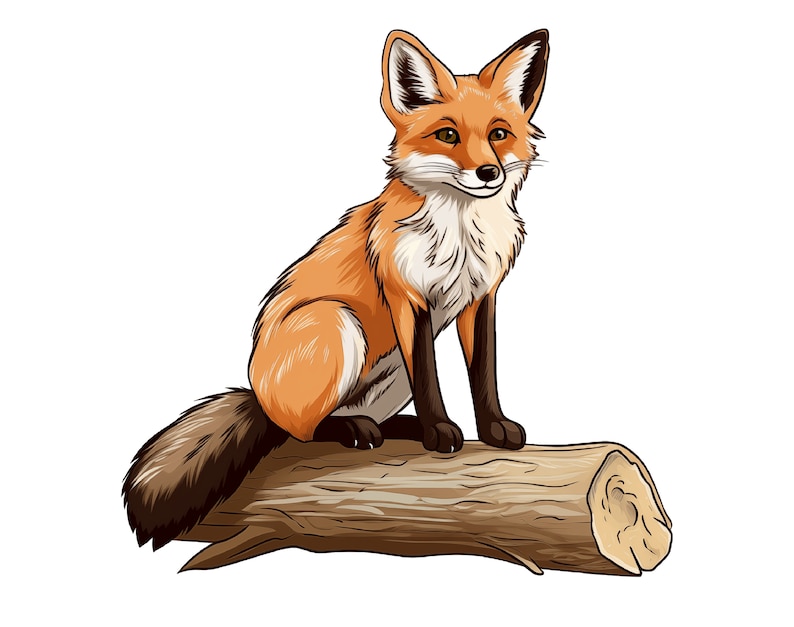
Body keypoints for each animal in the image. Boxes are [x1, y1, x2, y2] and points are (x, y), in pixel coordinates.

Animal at [123, 29, 550, 550]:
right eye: (448, 135)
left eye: (498, 134)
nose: (488, 173)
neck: (461, 234)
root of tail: (257, 393)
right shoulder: (407, 297)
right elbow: (431, 378)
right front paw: (439, 431)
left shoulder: (480, 298)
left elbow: (483, 373)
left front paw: (491, 428)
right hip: (336, 321)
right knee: (300, 431)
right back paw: (354, 430)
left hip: (387, 371)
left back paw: (395, 427)